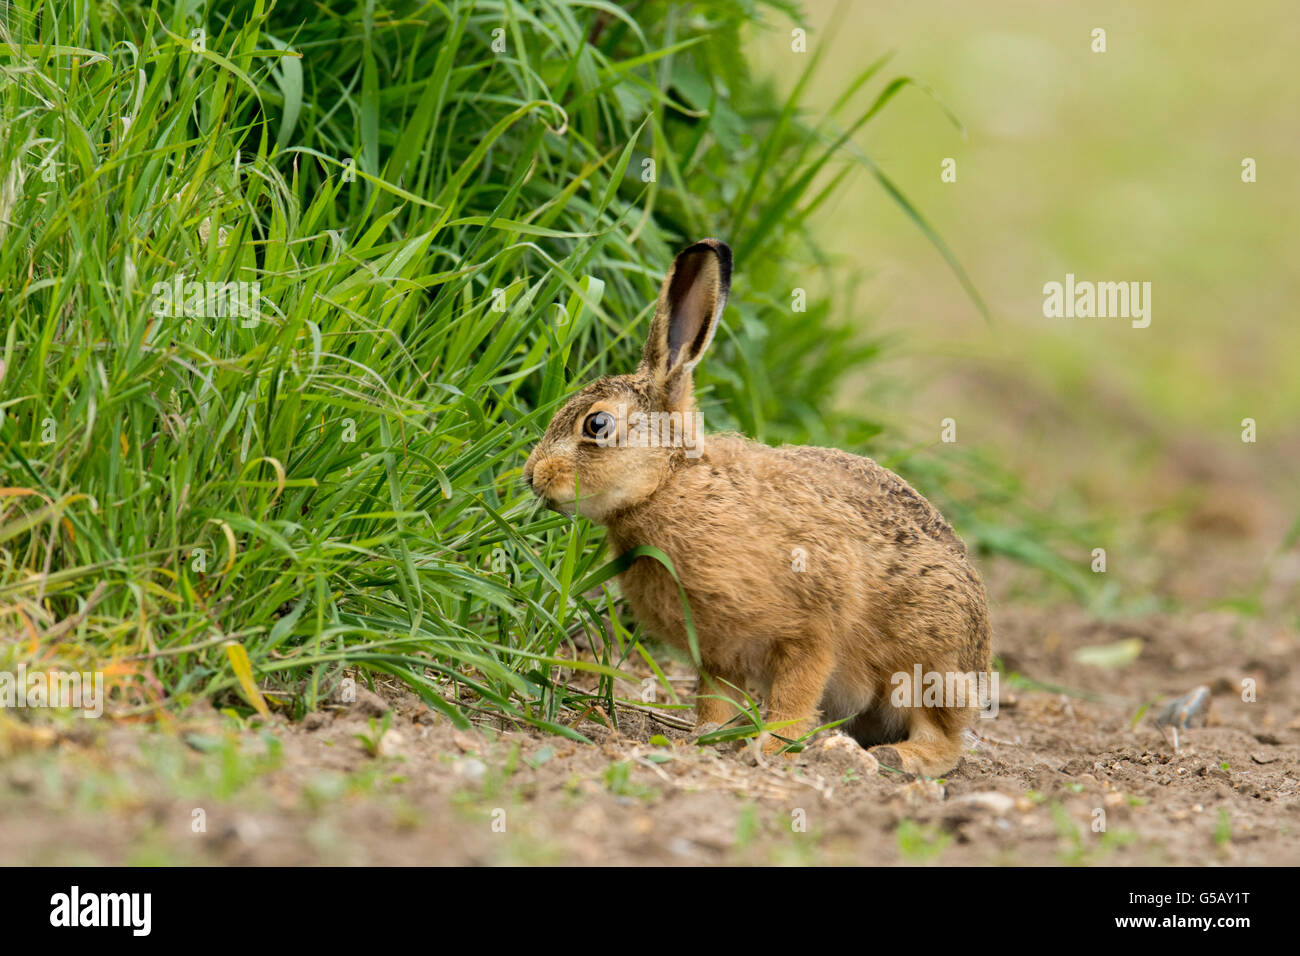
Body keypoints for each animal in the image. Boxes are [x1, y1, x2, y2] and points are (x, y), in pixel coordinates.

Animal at [523, 239, 992, 777]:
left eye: (597, 425)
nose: (532, 476)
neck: (669, 485)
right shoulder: (718, 651)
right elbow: (715, 699)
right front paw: (703, 740)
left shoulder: (812, 631)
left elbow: (794, 695)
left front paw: (771, 747)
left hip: (924, 664)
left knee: (943, 737)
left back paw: (897, 755)